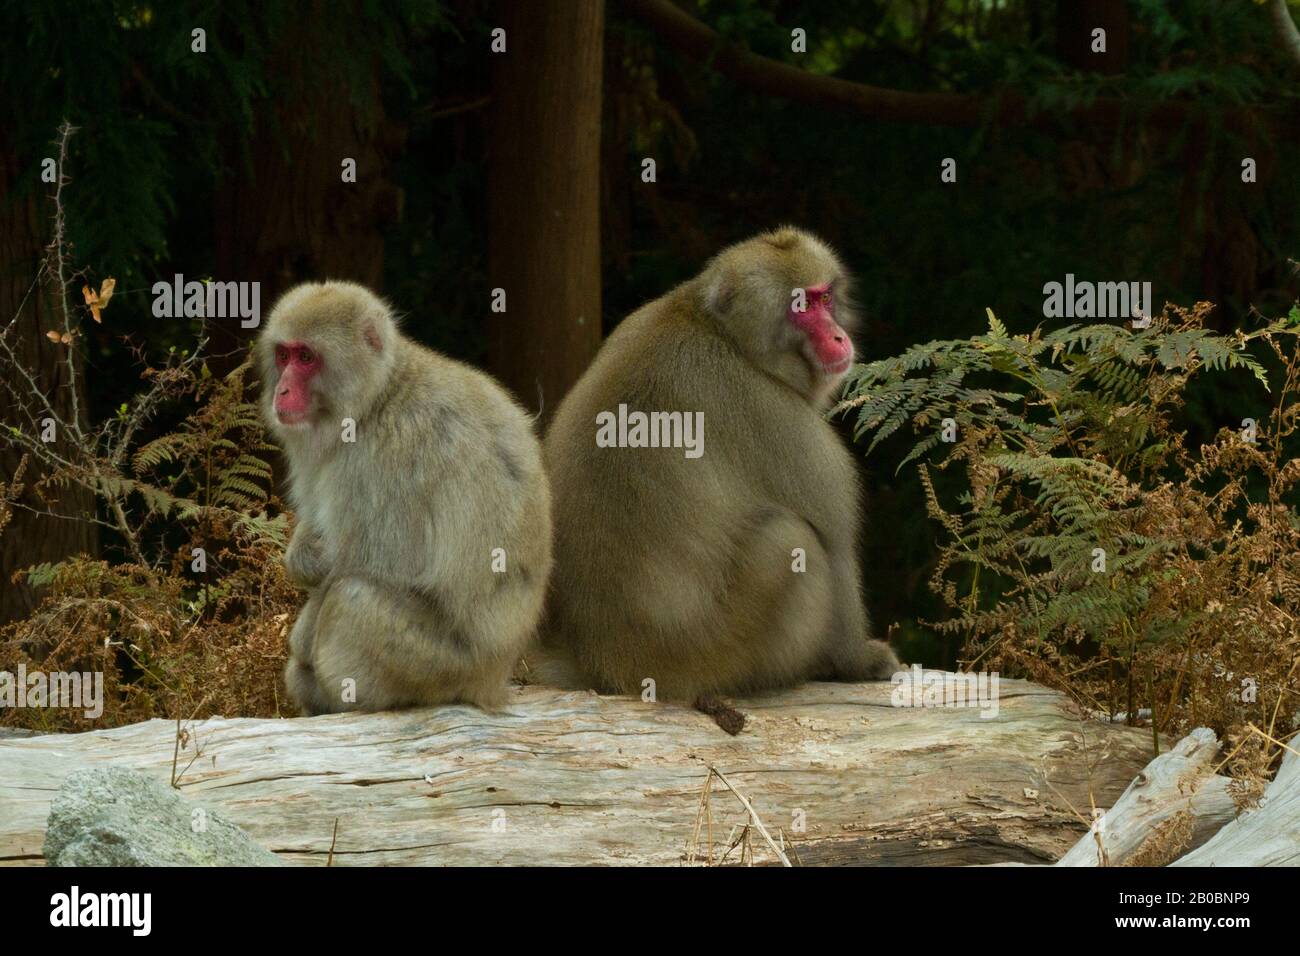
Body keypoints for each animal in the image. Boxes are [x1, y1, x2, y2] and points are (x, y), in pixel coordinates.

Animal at [256, 281, 552, 715]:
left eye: (307, 357)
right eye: (284, 355)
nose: (283, 390)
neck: (378, 399)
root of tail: (493, 680)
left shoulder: (382, 457)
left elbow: (378, 559)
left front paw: (304, 615)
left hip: (438, 666)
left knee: (354, 597)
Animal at [540, 227, 900, 729]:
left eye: (825, 297)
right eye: (801, 306)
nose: (838, 335)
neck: (721, 332)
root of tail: (609, 658)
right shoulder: (776, 415)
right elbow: (835, 542)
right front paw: (858, 662)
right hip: (713, 656)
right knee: (791, 541)